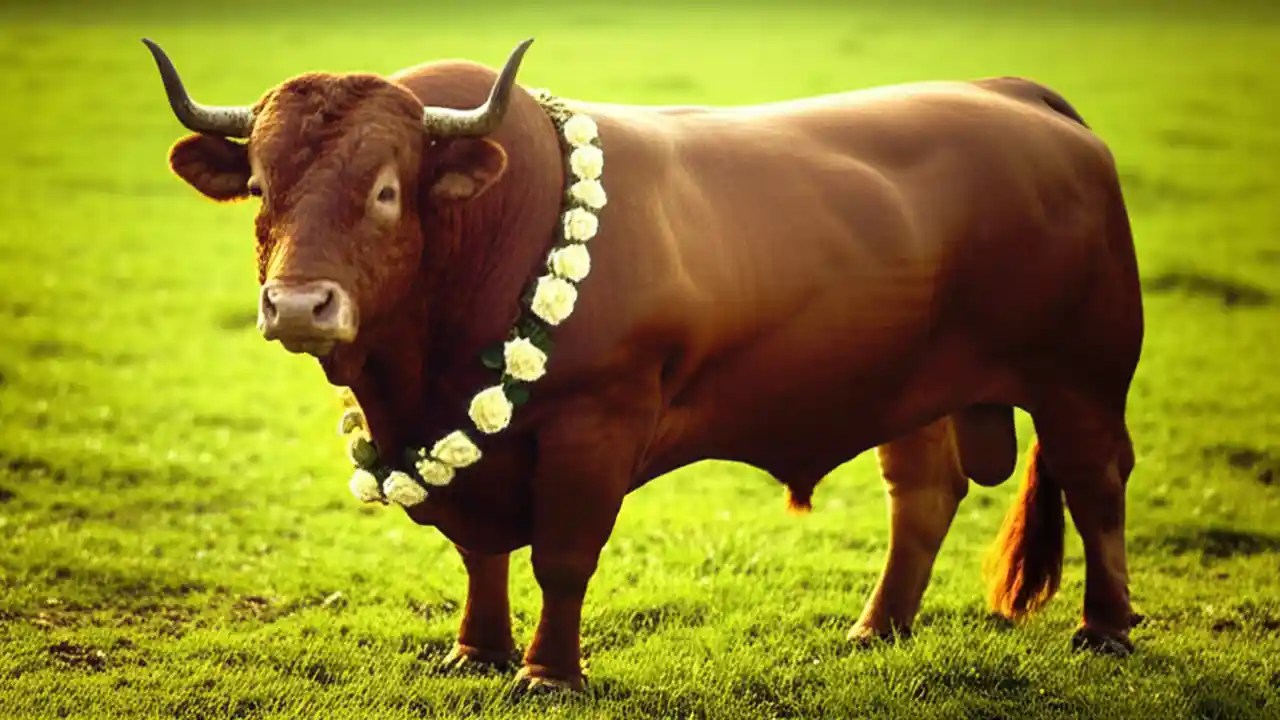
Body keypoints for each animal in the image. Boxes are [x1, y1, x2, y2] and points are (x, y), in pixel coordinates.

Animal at [144, 37, 1144, 692]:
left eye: (388, 191)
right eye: (261, 188)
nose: (297, 306)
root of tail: (1014, 94)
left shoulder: (596, 423)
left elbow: (563, 555)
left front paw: (548, 675)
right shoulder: (463, 448)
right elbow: (480, 553)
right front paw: (476, 652)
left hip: (1082, 375)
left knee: (1097, 485)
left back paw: (1105, 632)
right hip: (911, 386)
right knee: (924, 495)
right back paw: (876, 631)